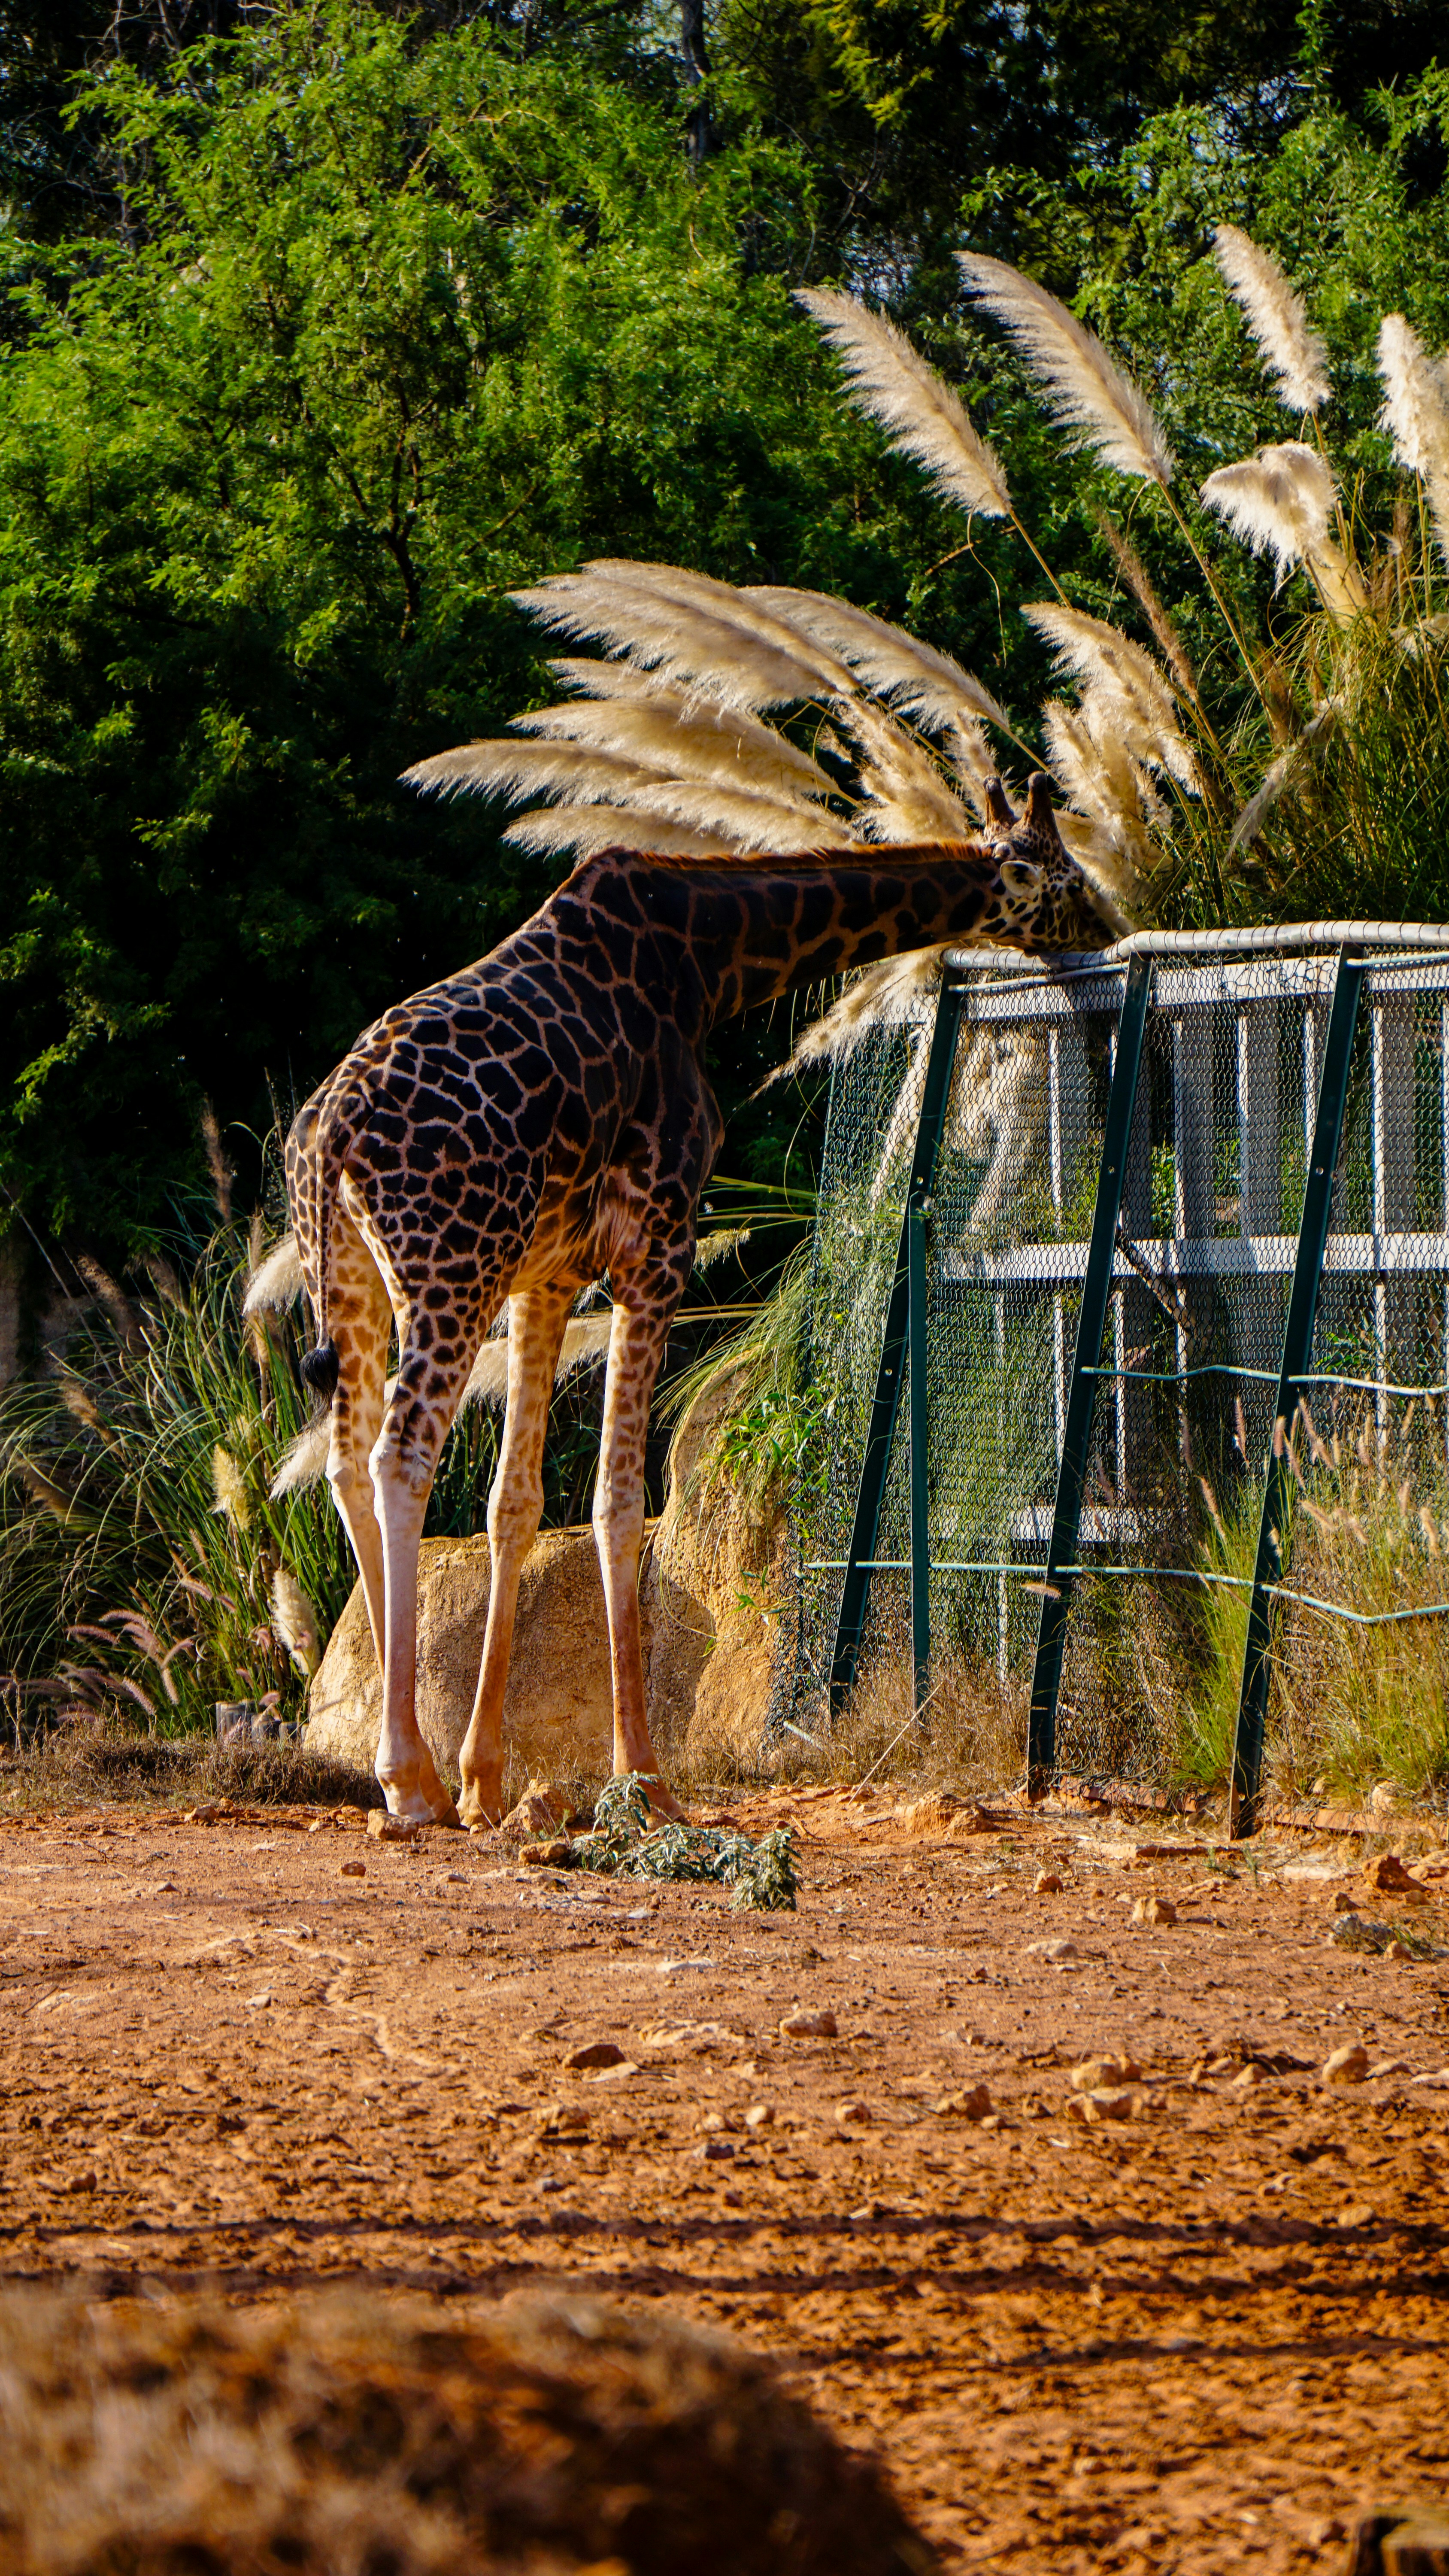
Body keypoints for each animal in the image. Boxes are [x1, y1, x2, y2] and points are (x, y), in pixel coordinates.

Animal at [285, 773, 1122, 1829]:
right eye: (1064, 875)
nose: (1111, 927)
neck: (709, 964)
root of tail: (328, 1137)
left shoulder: (549, 1274)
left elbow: (515, 1505)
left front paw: (488, 1779)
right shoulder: (656, 1243)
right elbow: (618, 1502)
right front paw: (642, 1777)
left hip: (355, 1278)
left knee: (345, 1465)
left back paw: (427, 1773)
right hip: (449, 1270)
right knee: (398, 1459)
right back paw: (405, 1779)